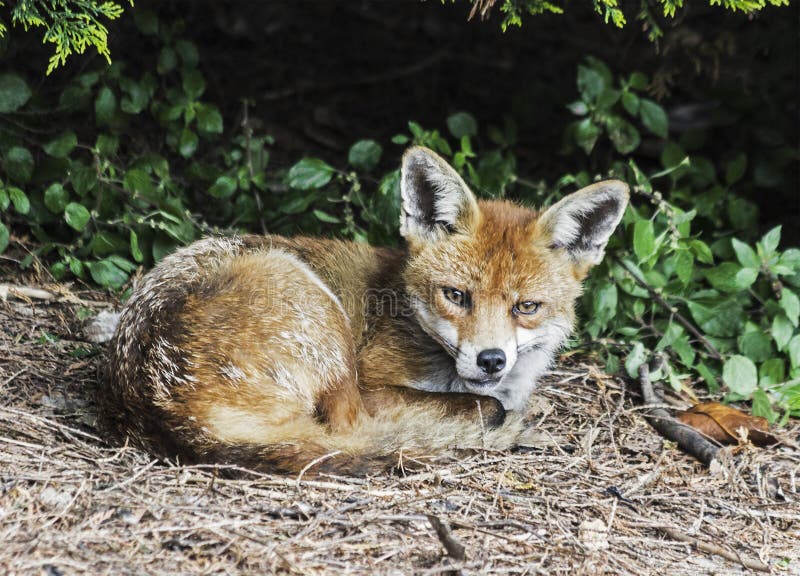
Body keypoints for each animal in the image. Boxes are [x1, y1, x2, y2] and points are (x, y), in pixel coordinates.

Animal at [102, 146, 628, 476]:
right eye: (457, 295)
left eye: (526, 306)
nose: (491, 360)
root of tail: (166, 408)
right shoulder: (375, 385)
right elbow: (488, 406)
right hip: (321, 317)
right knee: (353, 428)